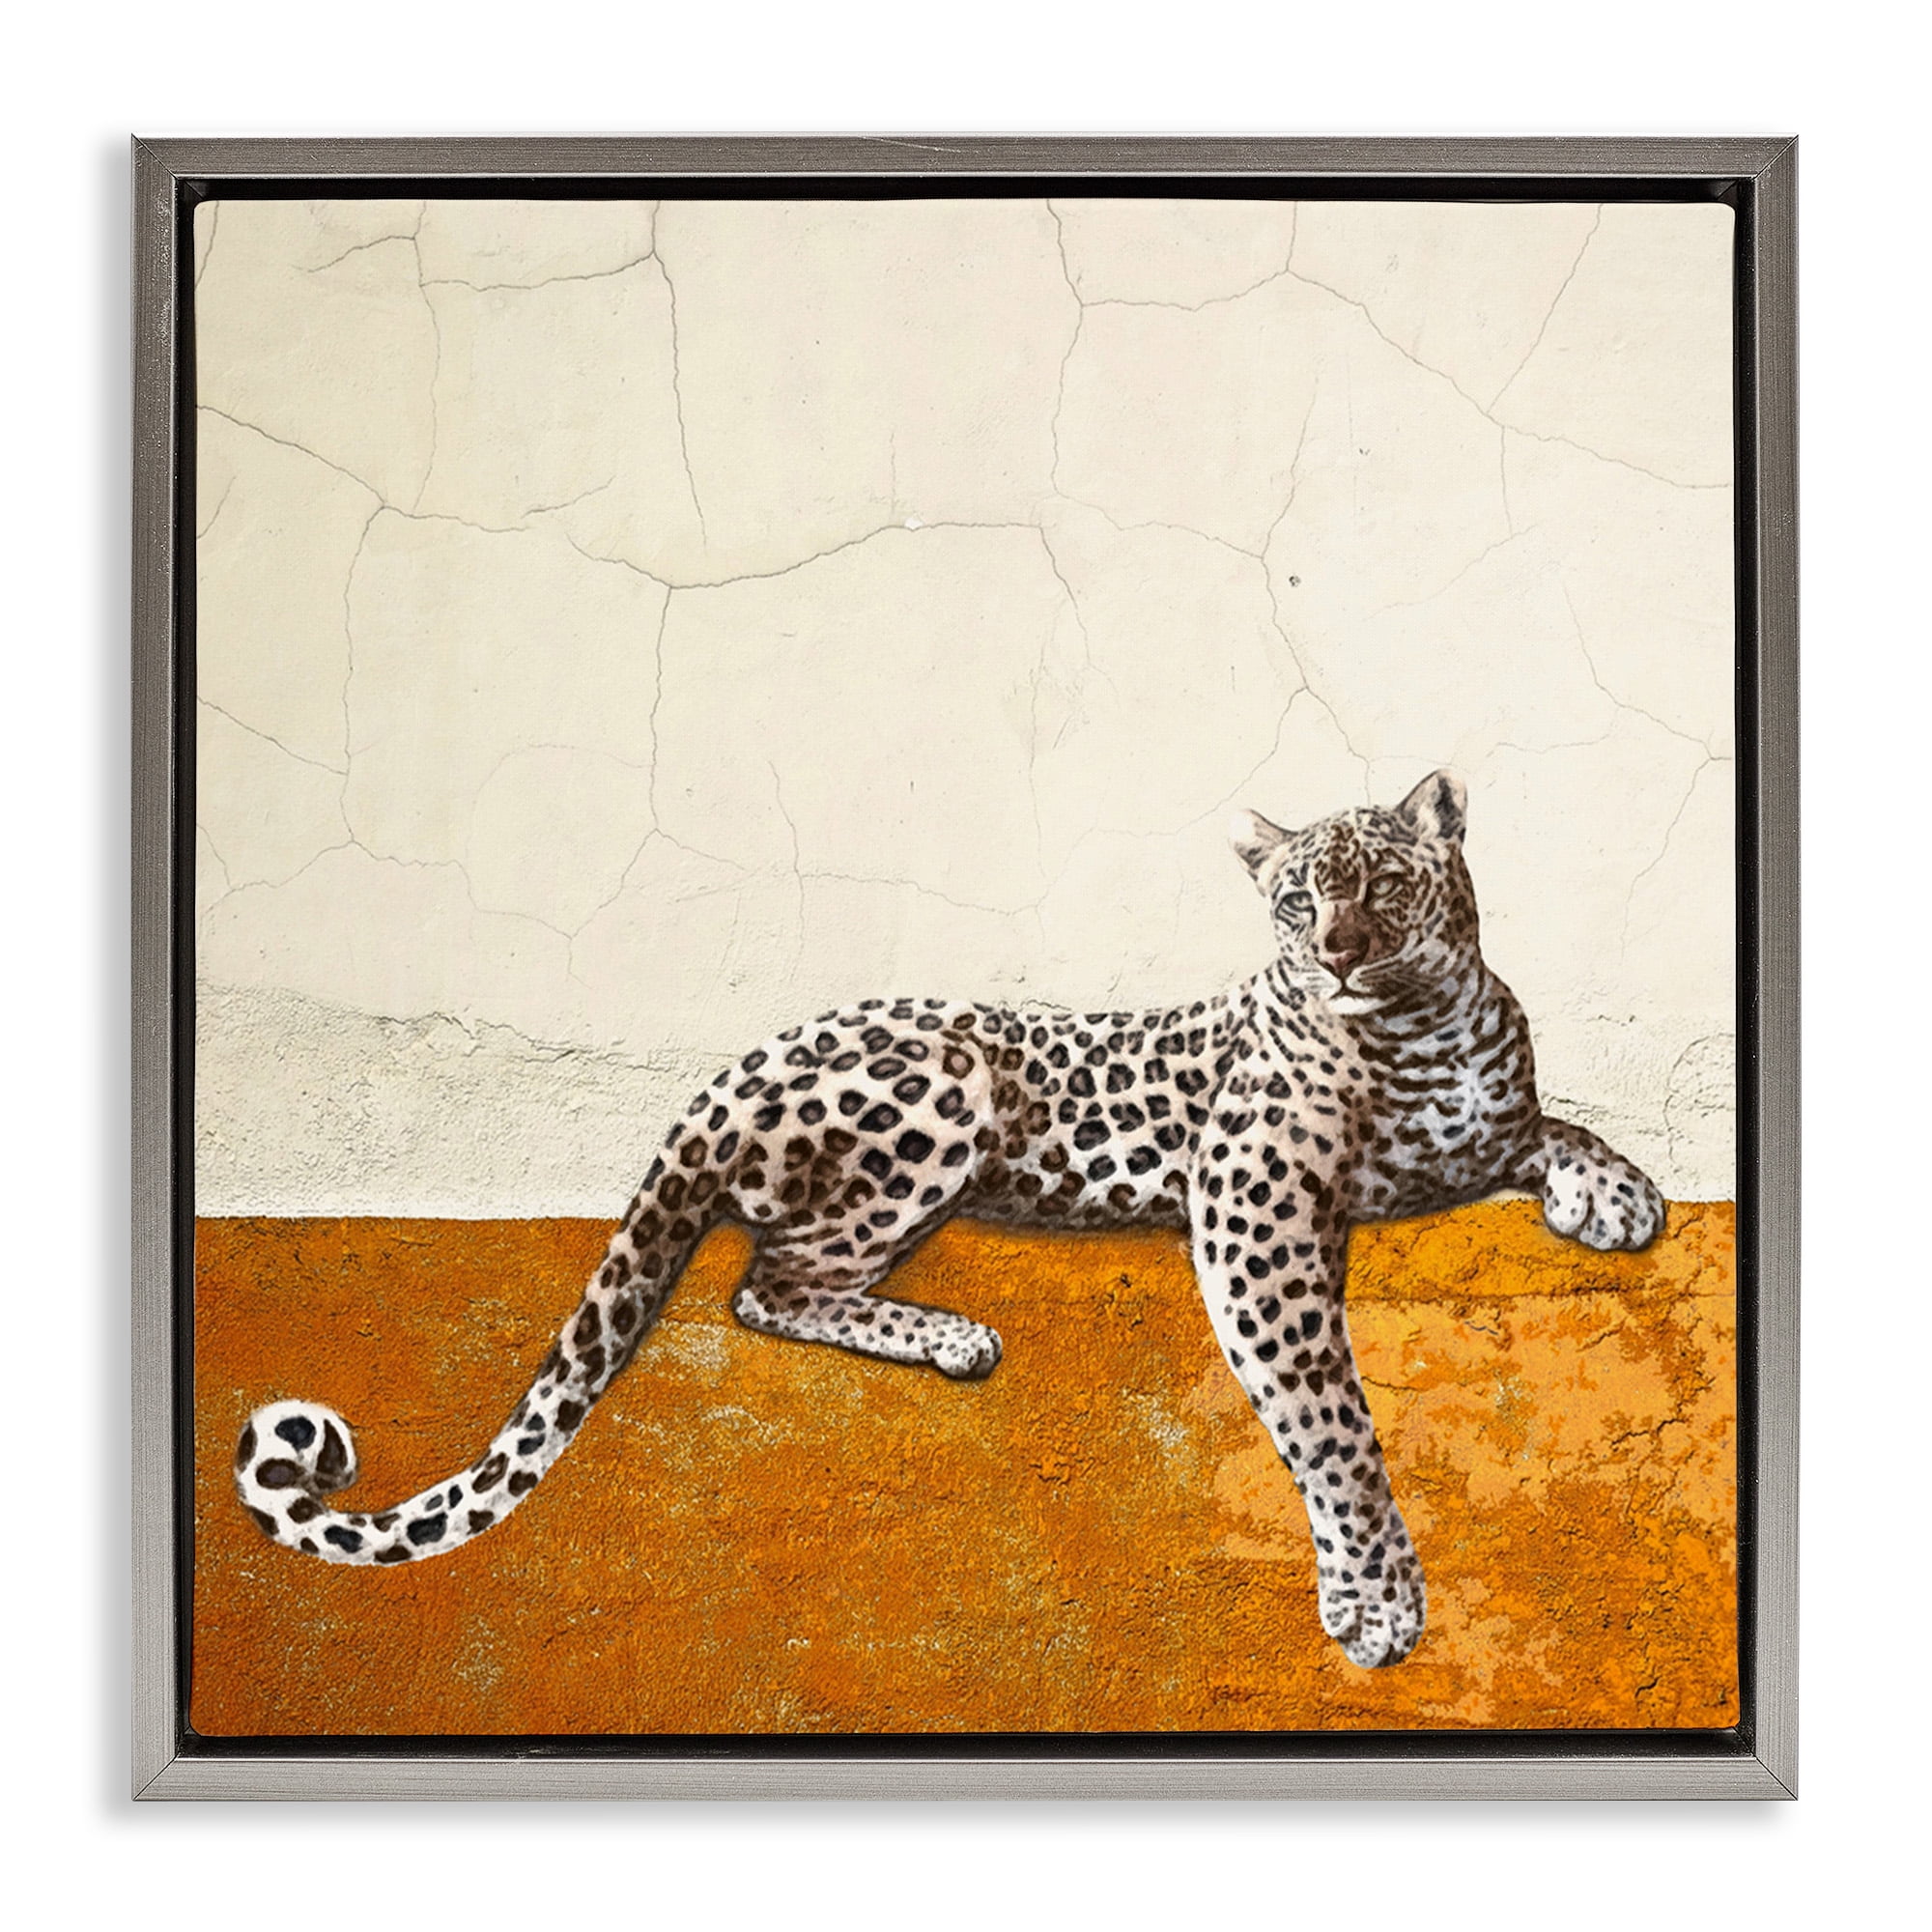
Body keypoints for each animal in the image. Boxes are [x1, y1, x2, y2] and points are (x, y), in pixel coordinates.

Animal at [235, 770, 1664, 1669]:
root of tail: (728, 1067)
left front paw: (1617, 1188)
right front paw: (1373, 1596)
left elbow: (1545, 1125)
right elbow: (1330, 1419)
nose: (1336, 954)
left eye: (1379, 886)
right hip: (947, 1090)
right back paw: (951, 1336)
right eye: (1295, 900)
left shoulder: (1469, 1130)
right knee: (770, 1283)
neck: (1427, 1024)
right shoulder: (1253, 1206)